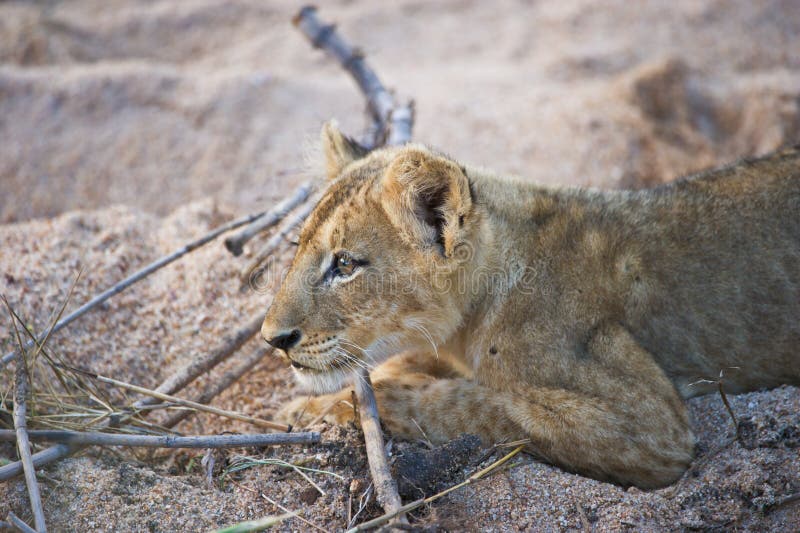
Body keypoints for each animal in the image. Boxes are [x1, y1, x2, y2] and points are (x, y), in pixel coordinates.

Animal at [261, 123, 800, 489]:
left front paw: (321, 406)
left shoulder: (651, 427)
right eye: (298, 249)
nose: (272, 339)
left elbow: (472, 403)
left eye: (345, 263)